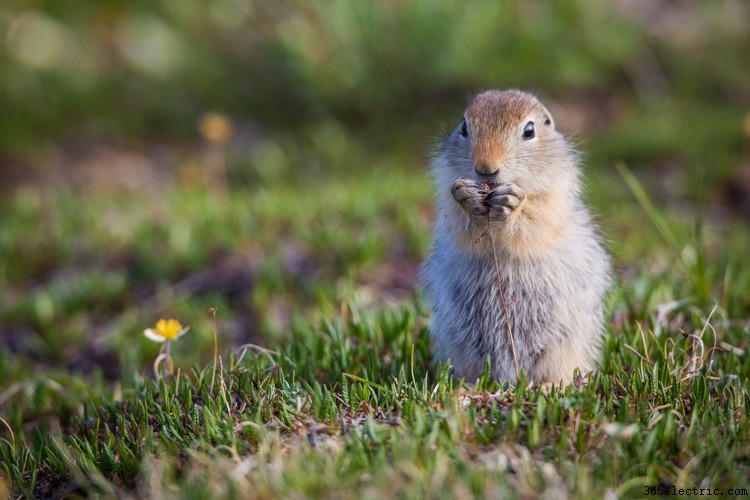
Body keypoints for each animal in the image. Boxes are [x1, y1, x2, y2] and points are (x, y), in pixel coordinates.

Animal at [424, 89, 612, 386]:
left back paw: (549, 387)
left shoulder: (553, 198)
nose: (486, 168)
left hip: (567, 345)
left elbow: (535, 221)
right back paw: (465, 388)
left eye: (529, 130)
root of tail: (510, 379)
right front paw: (465, 195)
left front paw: (513, 202)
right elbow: (457, 222)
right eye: (464, 127)